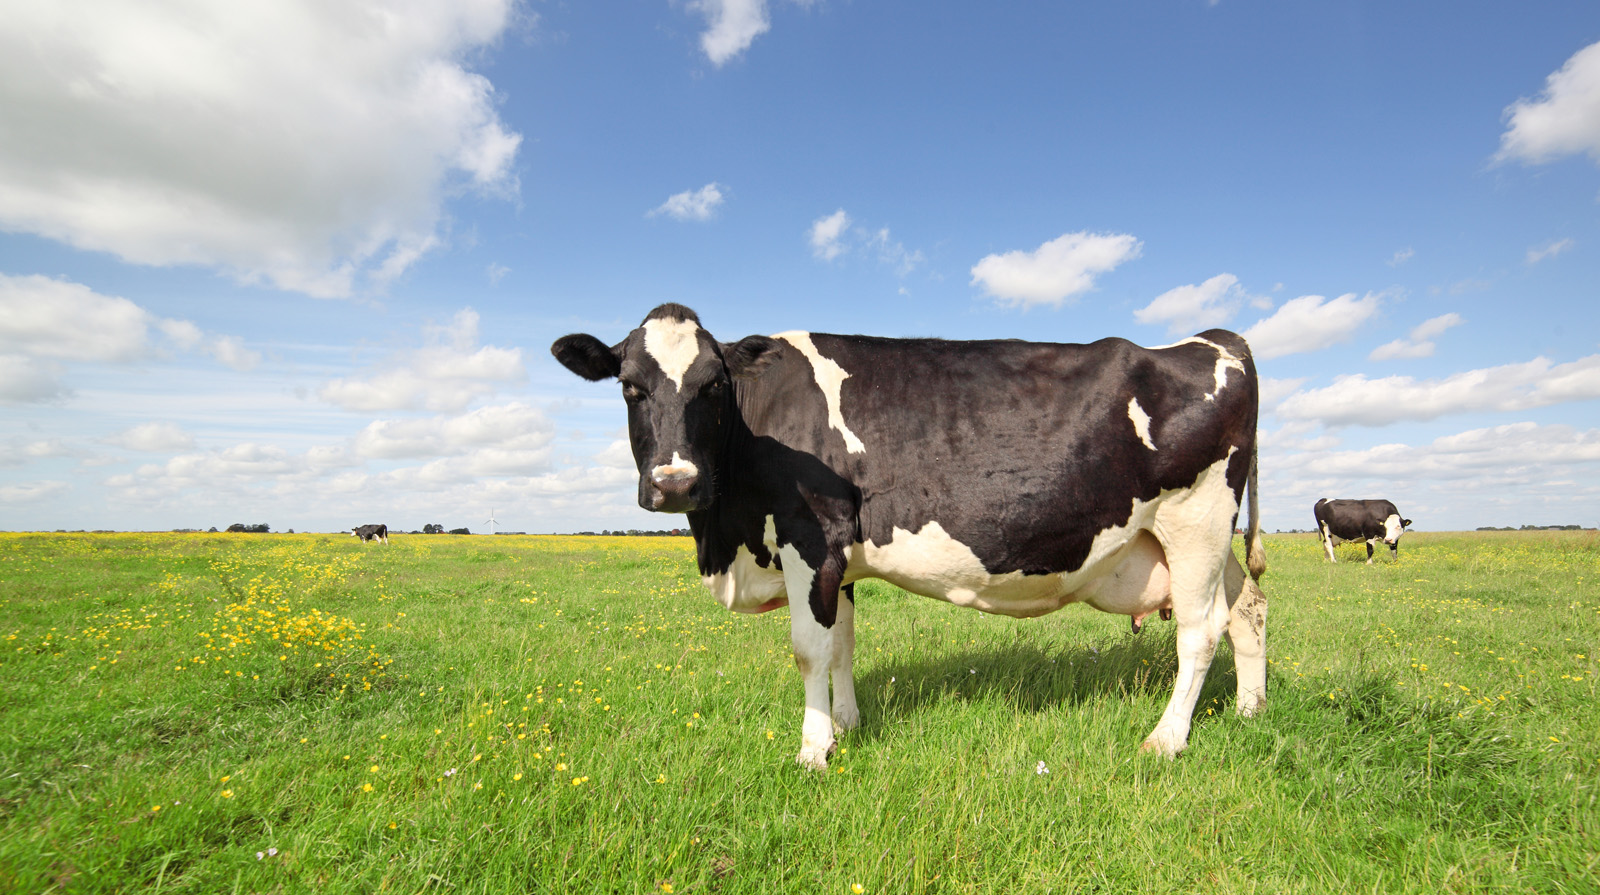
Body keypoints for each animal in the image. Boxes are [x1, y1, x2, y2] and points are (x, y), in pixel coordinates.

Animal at [552, 304, 1268, 769]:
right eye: (630, 387)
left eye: (713, 385)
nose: (675, 483)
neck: (726, 540)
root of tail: (1213, 339)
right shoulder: (836, 558)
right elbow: (841, 644)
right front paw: (847, 725)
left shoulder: (811, 535)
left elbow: (810, 650)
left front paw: (813, 750)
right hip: (1206, 536)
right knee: (1248, 607)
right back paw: (1250, 711)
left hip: (1196, 516)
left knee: (1200, 630)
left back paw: (1166, 741)